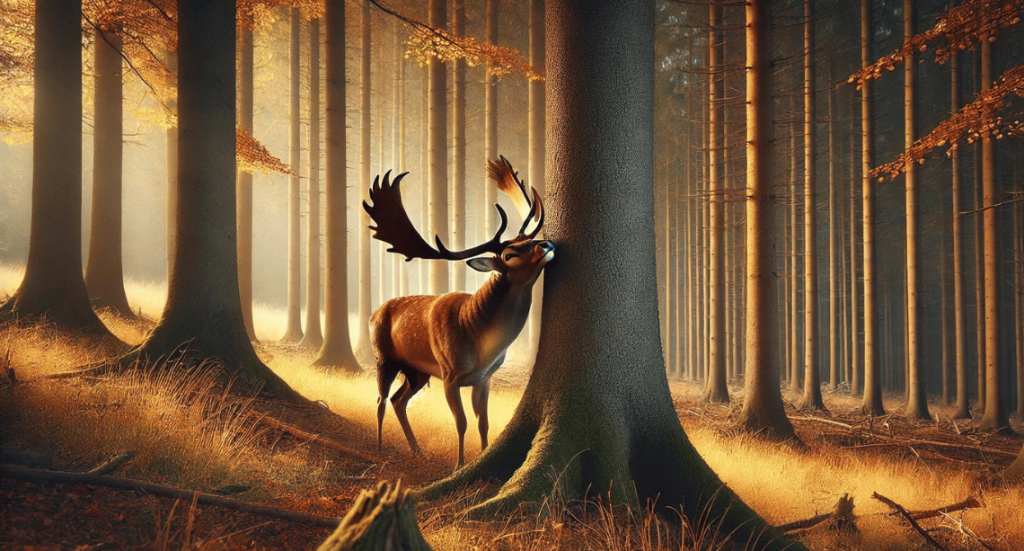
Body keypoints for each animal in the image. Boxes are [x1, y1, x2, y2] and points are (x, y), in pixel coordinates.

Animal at [363, 156, 553, 470]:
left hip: (417, 372)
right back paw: (378, 447)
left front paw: (482, 457)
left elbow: (483, 423)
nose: (546, 244)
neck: (479, 341)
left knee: (398, 400)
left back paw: (417, 450)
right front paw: (459, 466)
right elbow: (461, 422)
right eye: (509, 254)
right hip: (384, 358)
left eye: (527, 239)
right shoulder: (450, 374)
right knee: (380, 400)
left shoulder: (484, 378)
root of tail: (372, 313)